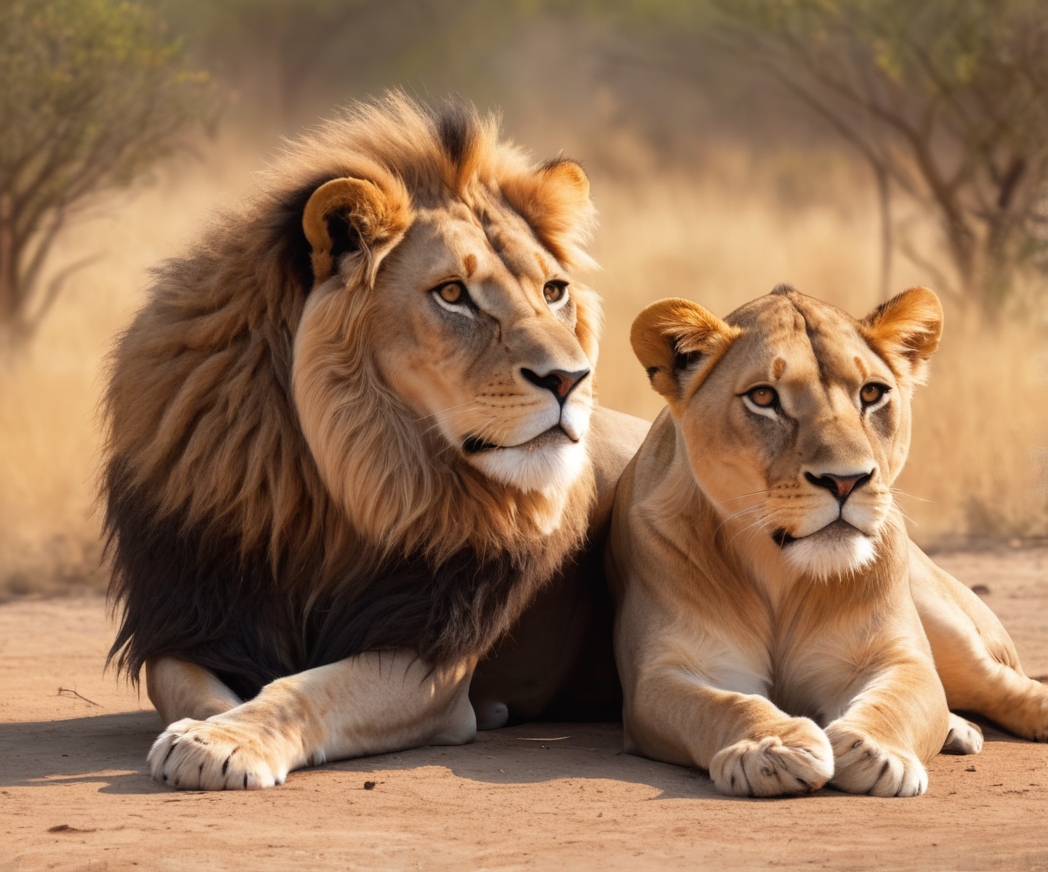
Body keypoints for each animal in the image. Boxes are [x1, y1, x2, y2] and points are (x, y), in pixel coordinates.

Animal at [103, 94, 648, 790]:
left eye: (554, 291)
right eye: (452, 294)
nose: (571, 379)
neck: (336, 476)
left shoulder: (428, 654)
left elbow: (305, 688)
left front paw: (222, 742)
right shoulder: (200, 617)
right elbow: (195, 690)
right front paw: (209, 728)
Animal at [607, 285, 1048, 797]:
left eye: (872, 393)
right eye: (763, 397)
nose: (845, 481)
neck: (779, 569)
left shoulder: (894, 655)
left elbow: (900, 699)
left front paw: (874, 752)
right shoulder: (669, 672)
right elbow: (725, 704)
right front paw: (772, 747)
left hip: (940, 618)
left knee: (1000, 682)